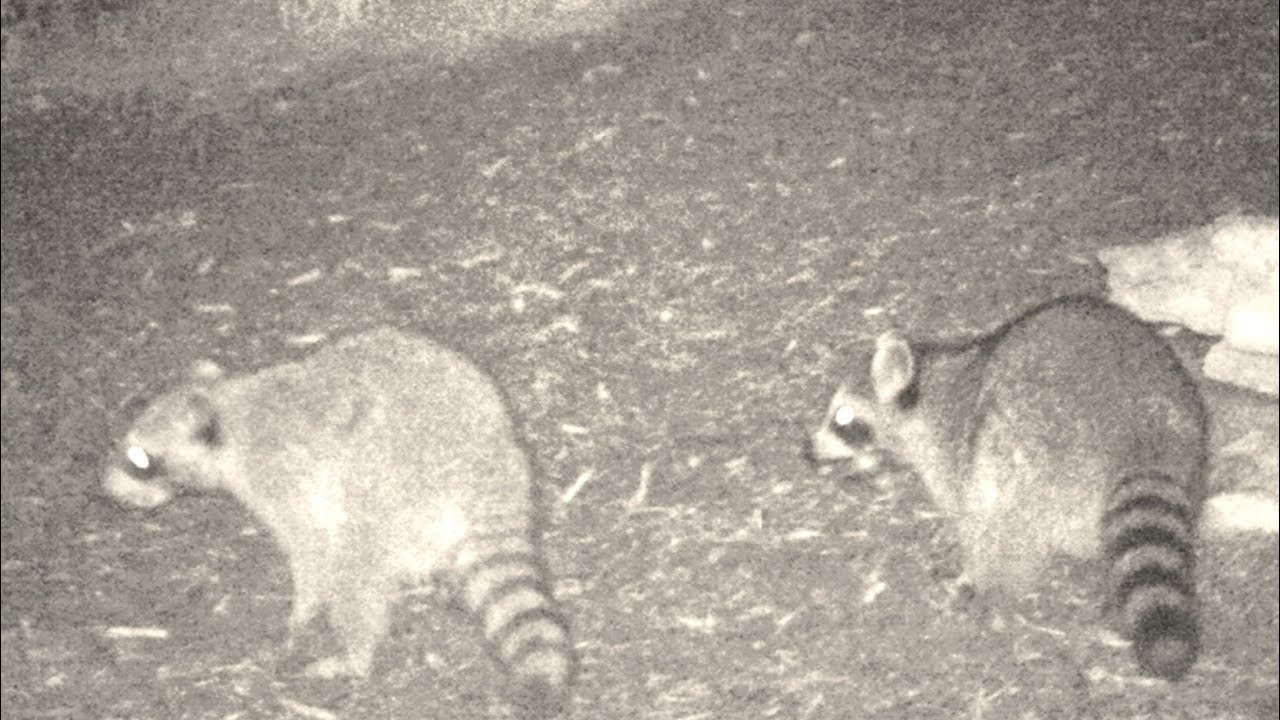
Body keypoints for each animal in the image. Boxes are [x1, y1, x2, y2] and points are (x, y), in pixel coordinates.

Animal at [103, 328, 576, 717]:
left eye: (140, 460)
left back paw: (356, 654)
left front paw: (303, 614)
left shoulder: (279, 475)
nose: (106, 490)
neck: (228, 405)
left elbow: (312, 548)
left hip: (390, 486)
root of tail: (485, 467)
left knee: (354, 565)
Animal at [806, 295, 1208, 680]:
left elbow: (974, 515)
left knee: (1011, 516)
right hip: (1187, 448)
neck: (930, 385)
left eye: (842, 418)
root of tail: (1142, 429)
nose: (807, 451)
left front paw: (975, 568)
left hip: (1036, 436)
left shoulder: (955, 451)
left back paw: (995, 583)